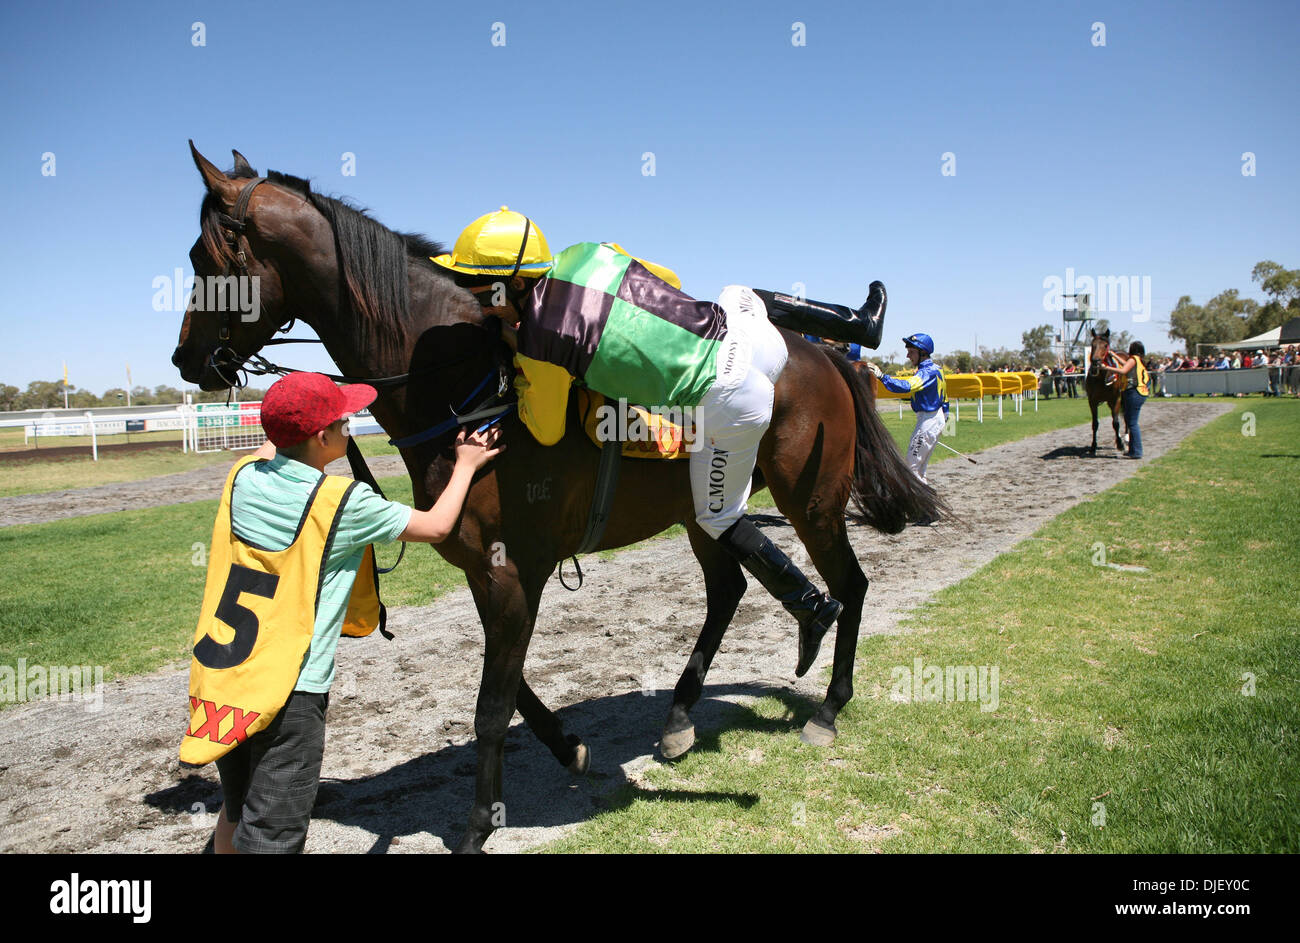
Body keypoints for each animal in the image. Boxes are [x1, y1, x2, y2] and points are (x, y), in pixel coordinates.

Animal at [171, 143, 946, 852]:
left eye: (203, 259)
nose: (185, 359)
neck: (470, 381)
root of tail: (826, 357)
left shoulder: (518, 566)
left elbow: (491, 704)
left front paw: (478, 825)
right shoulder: (484, 565)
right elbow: (509, 686)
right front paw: (568, 745)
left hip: (809, 498)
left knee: (848, 583)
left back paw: (827, 698)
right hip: (706, 505)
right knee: (729, 585)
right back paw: (683, 714)